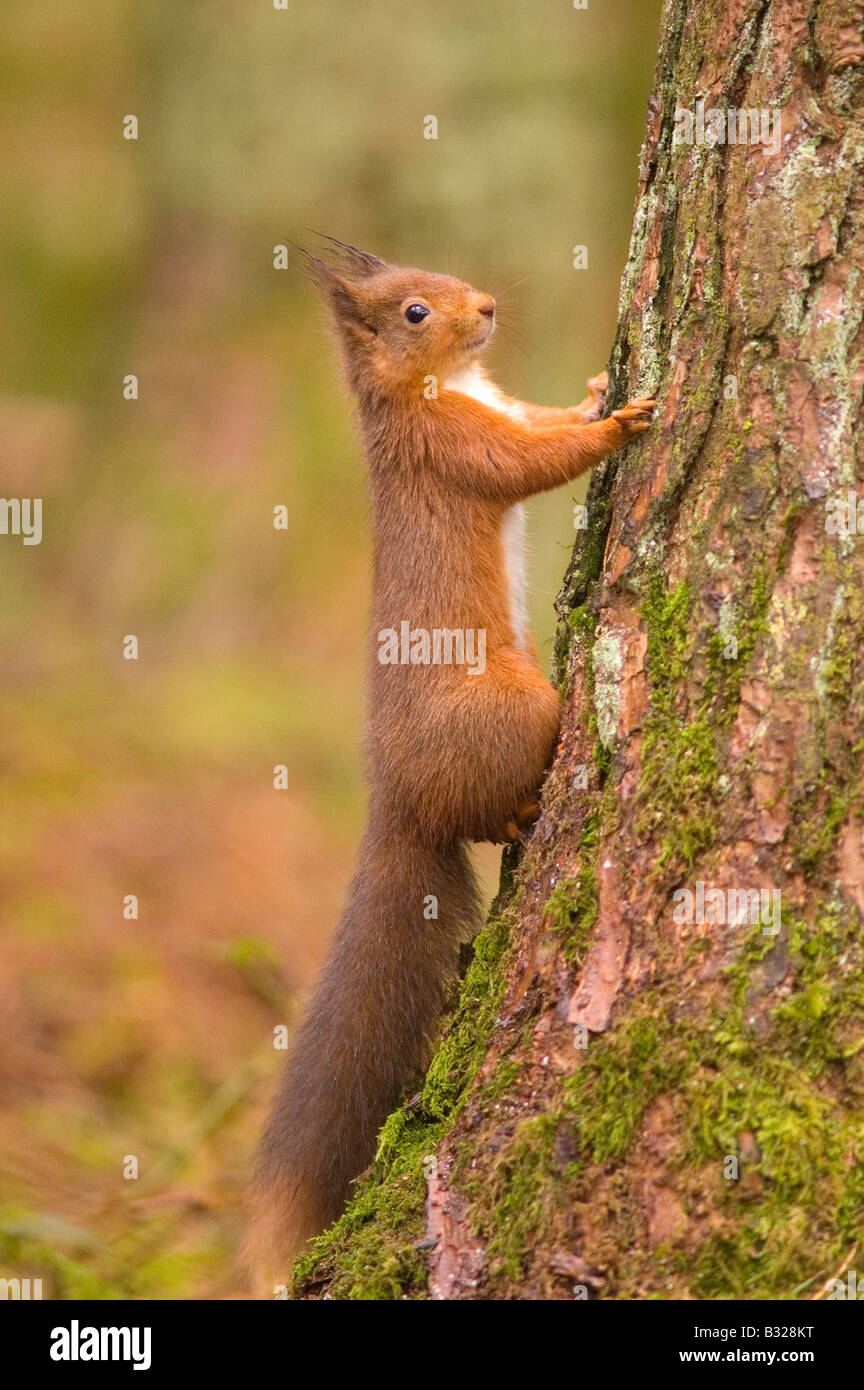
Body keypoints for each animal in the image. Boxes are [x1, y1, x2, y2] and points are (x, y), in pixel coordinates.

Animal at [247, 238, 655, 1282]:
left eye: (433, 276)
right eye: (415, 313)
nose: (489, 307)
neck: (448, 388)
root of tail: (398, 800)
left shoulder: (499, 407)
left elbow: (544, 419)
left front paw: (594, 390)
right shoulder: (457, 450)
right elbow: (535, 459)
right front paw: (621, 420)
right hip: (519, 706)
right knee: (492, 803)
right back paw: (522, 811)